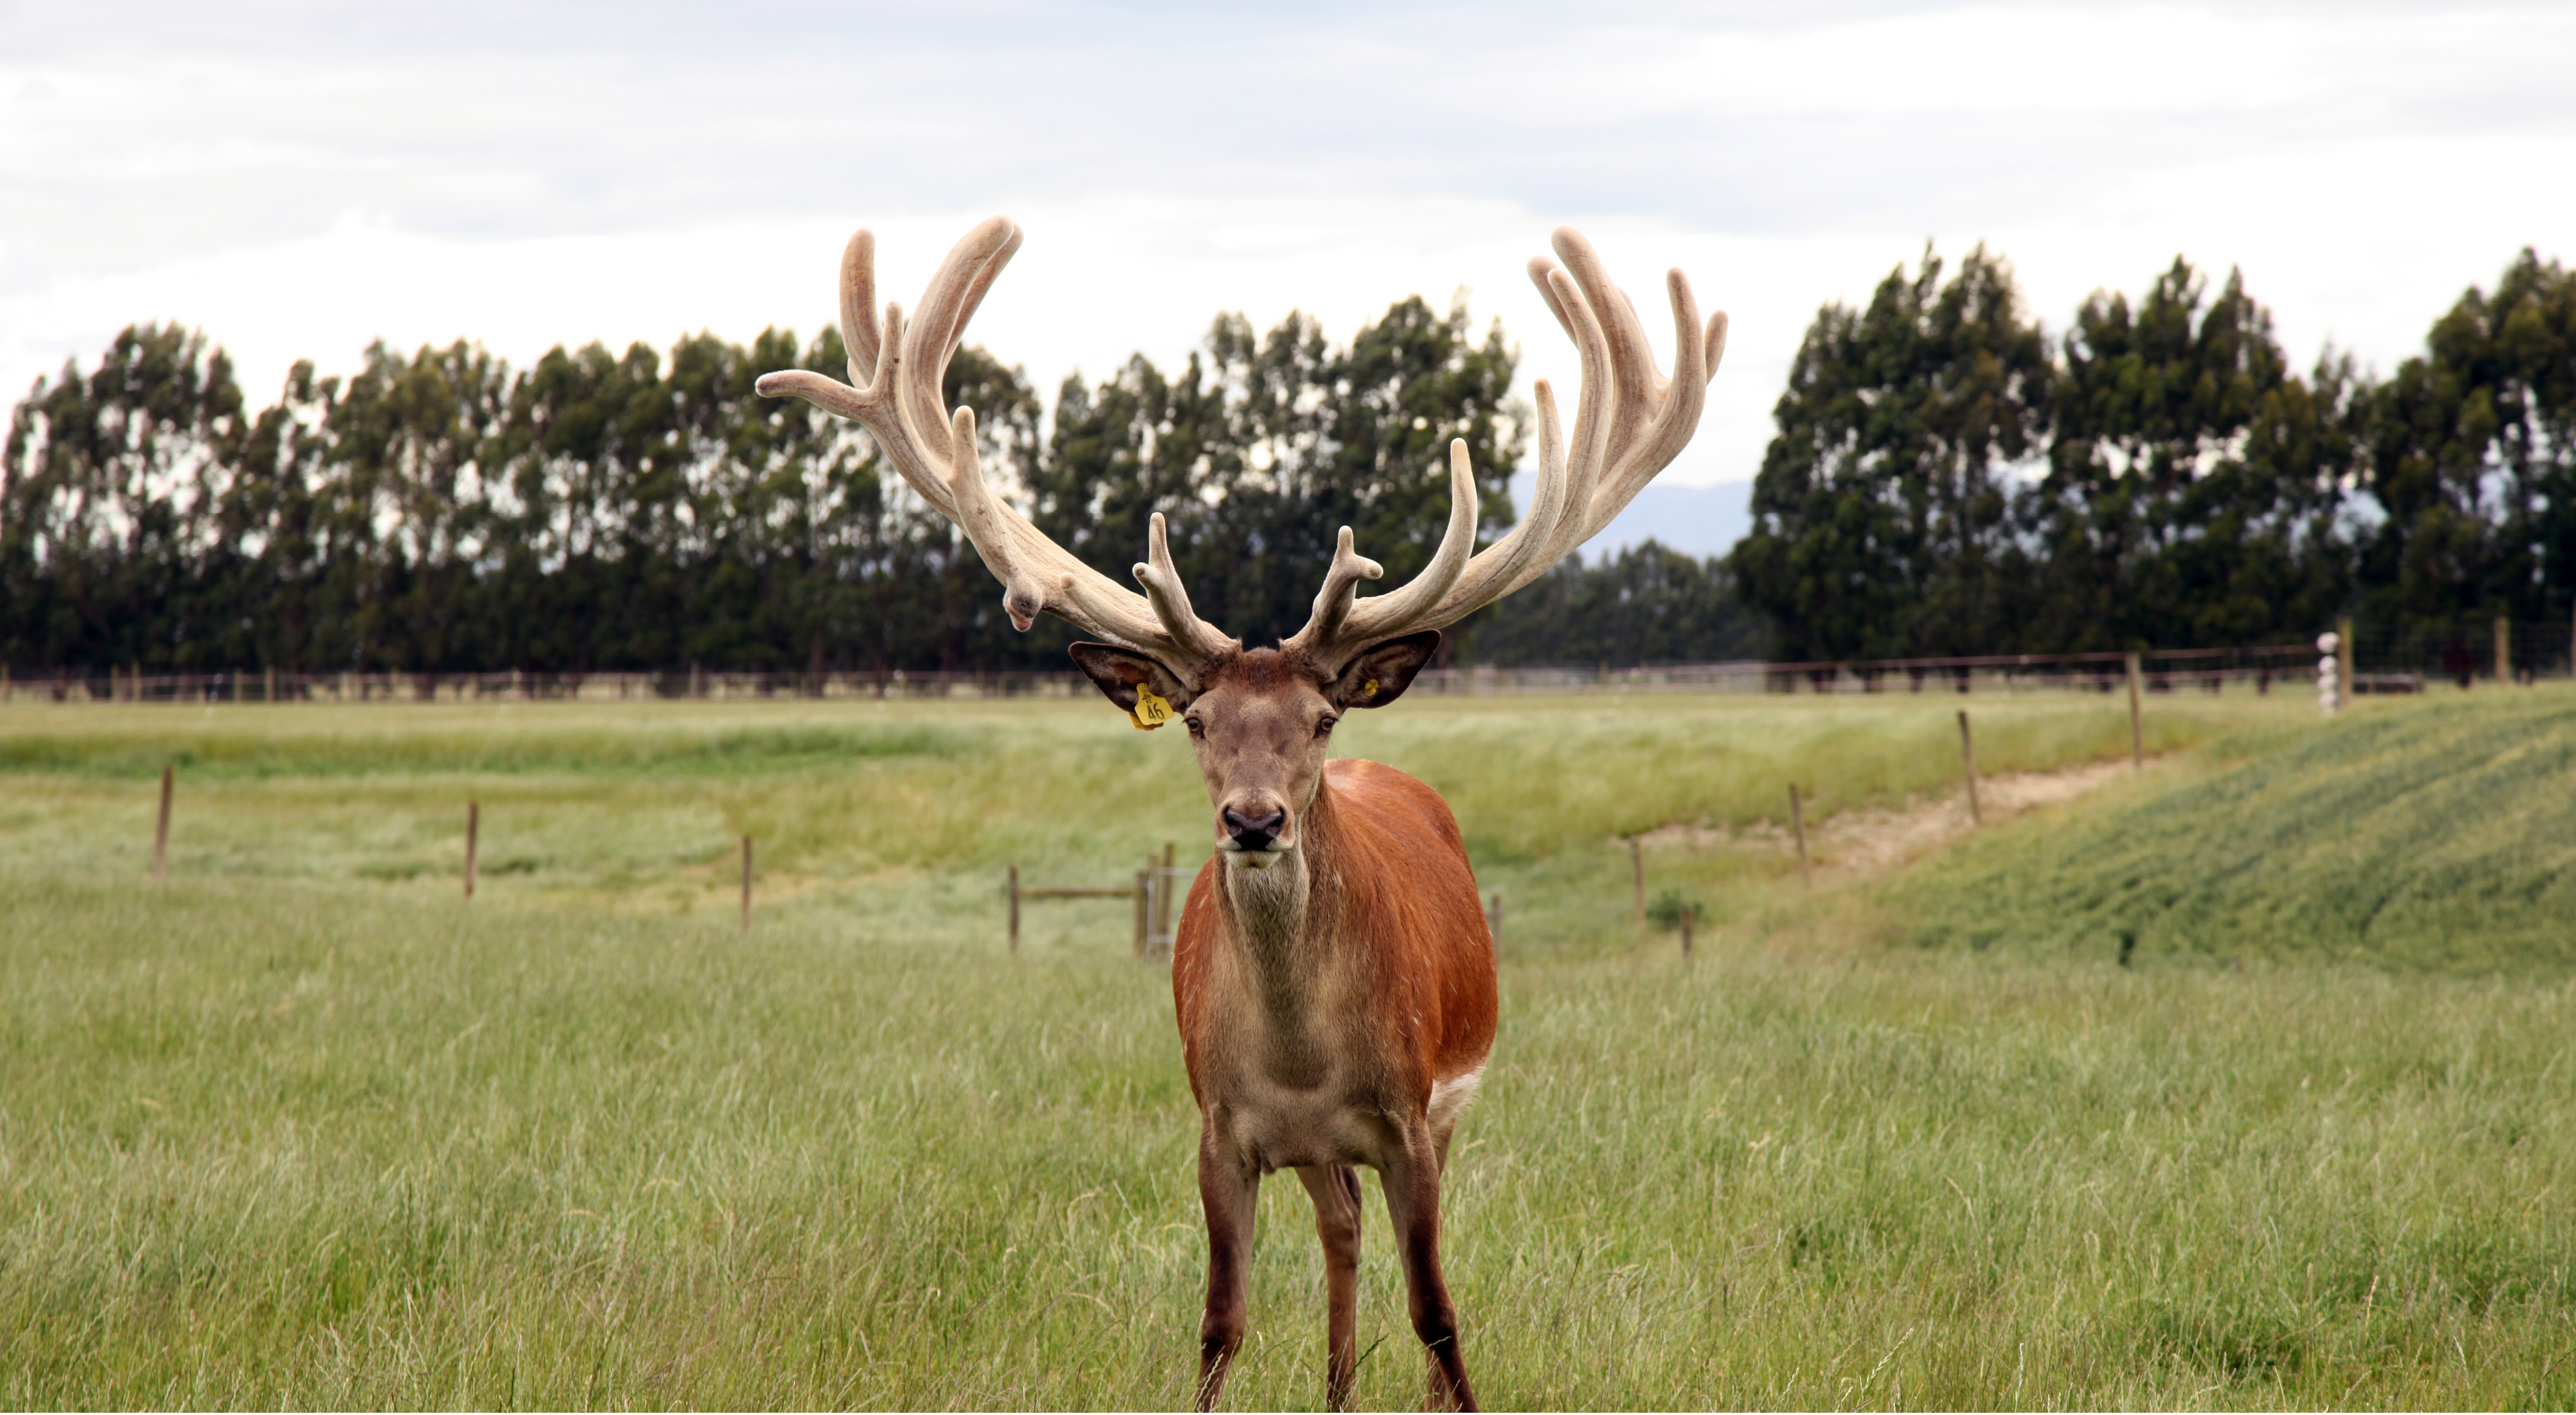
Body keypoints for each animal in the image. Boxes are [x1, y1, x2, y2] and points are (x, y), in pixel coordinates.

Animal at [756, 217, 1724, 1411]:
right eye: (1197, 719)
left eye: (1319, 717)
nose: (1255, 822)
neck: (1304, 1057)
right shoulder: (1220, 1129)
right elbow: (1220, 1321)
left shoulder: (1412, 1118)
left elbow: (1439, 1312)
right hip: (1316, 1151)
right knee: (1340, 1231)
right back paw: (1338, 1392)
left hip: (1448, 1100)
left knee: (1378, 1249)